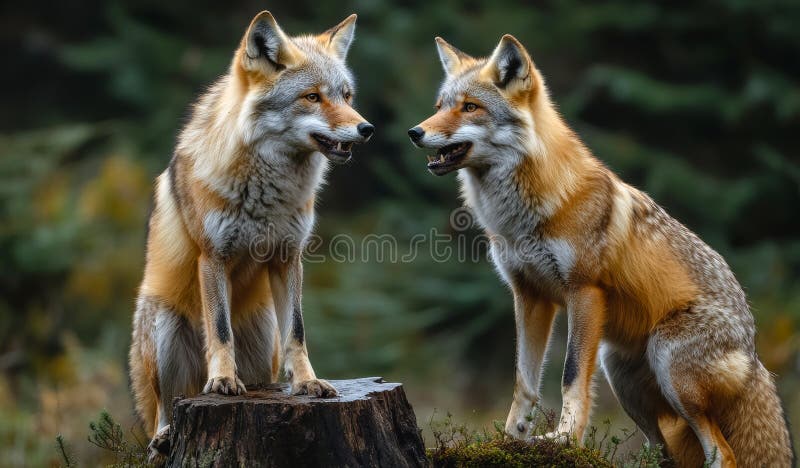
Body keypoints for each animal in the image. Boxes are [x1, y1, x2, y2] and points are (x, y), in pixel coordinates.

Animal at [128, 11, 373, 461]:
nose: (366, 128)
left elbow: (298, 332)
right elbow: (219, 331)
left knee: (262, 377)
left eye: (346, 96)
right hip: (164, 330)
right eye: (312, 97)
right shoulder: (213, 257)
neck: (267, 193)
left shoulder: (288, 257)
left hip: (263, 336)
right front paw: (224, 381)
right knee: (163, 408)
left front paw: (307, 383)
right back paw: (165, 435)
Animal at [409, 35, 795, 467]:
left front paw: (563, 439)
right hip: (622, 377)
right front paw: (511, 440)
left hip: (667, 364)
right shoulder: (530, 295)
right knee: (665, 453)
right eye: (439, 106)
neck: (525, 215)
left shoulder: (584, 291)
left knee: (722, 454)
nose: (414, 132)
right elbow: (524, 382)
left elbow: (571, 376)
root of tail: (755, 355)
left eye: (470, 107)